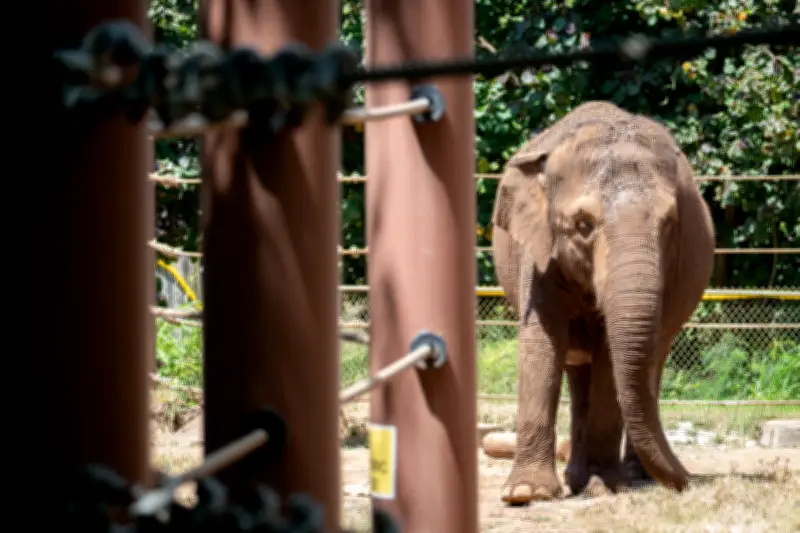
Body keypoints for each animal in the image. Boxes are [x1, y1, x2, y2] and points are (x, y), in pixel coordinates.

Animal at [490, 101, 715, 504]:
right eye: (582, 225)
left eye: (670, 225)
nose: (687, 482)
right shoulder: (539, 253)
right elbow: (542, 341)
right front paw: (526, 494)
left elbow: (610, 358)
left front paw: (602, 488)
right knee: (579, 371)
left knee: (648, 366)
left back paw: (632, 476)